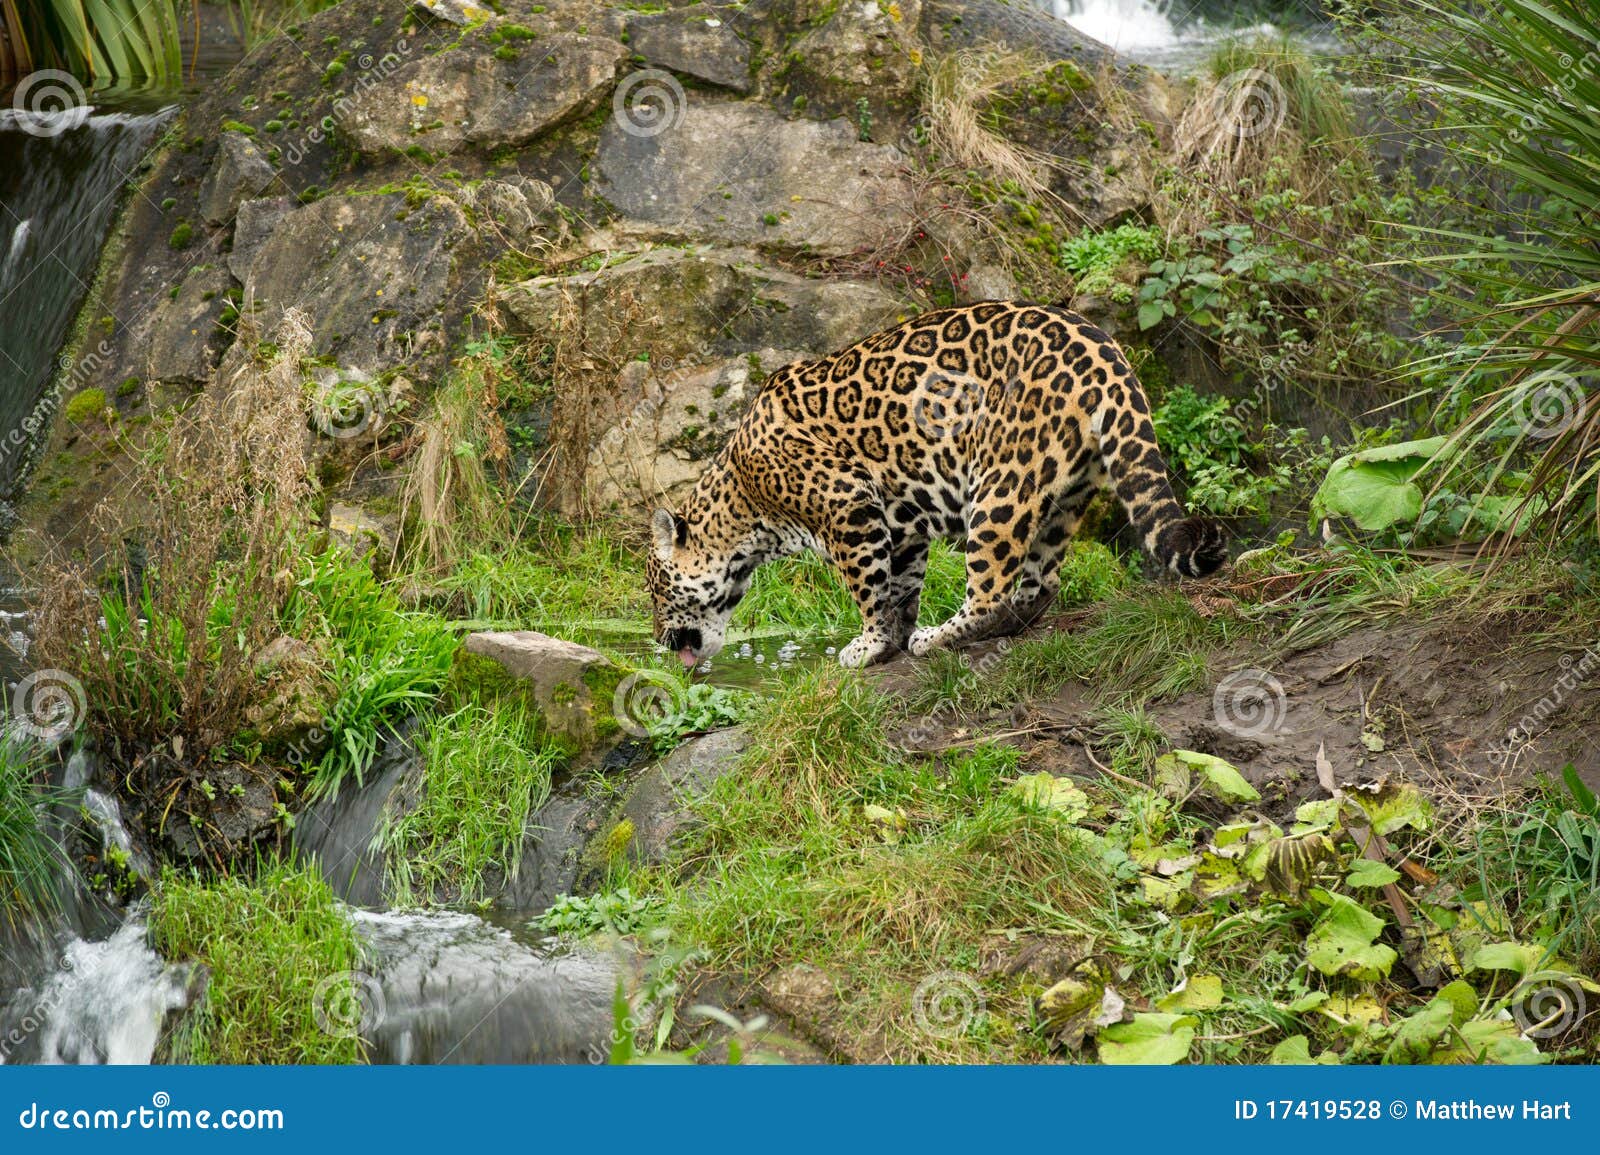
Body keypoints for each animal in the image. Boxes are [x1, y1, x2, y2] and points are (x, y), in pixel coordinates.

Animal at [645, 300, 1228, 669]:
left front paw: (870, 645)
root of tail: (1108, 353)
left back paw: (939, 637)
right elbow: (899, 586)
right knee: (1042, 584)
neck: (746, 504)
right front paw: (892, 637)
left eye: (655, 591)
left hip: (1000, 484)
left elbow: (867, 588)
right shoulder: (899, 524)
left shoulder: (849, 507)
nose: (657, 641)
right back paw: (1000, 625)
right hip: (1065, 494)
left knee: (990, 589)